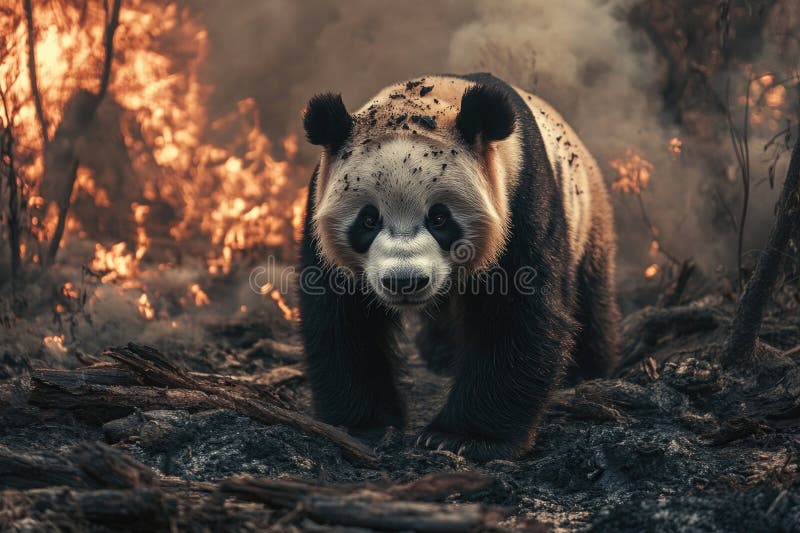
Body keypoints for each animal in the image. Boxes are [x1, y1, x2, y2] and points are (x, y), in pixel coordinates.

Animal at [299, 73, 619, 461]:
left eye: (439, 218)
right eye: (368, 220)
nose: (405, 281)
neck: (425, 102)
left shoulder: (520, 202)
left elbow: (518, 313)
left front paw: (460, 437)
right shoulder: (320, 211)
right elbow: (342, 320)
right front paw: (364, 424)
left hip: (589, 212)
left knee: (591, 295)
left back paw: (587, 370)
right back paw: (440, 354)